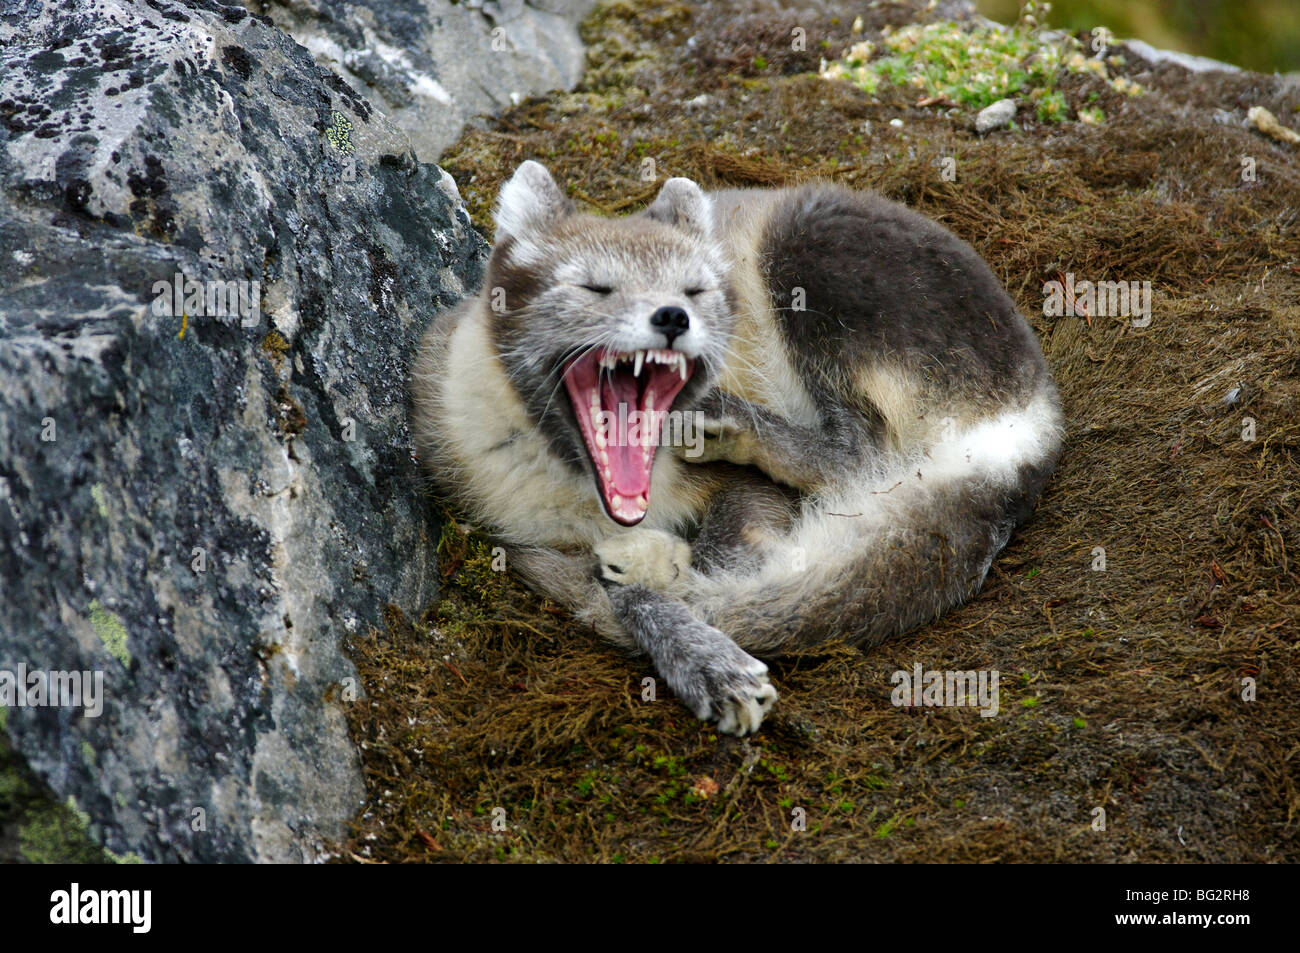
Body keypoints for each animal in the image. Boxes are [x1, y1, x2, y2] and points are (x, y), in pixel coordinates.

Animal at [410, 160, 1063, 736]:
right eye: (595, 287)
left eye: (695, 289)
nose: (673, 316)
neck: (582, 490)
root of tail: (1033, 415)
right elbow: (632, 598)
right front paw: (697, 652)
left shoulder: (751, 492)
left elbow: (728, 561)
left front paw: (699, 634)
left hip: (803, 245)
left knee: (864, 451)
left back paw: (720, 439)